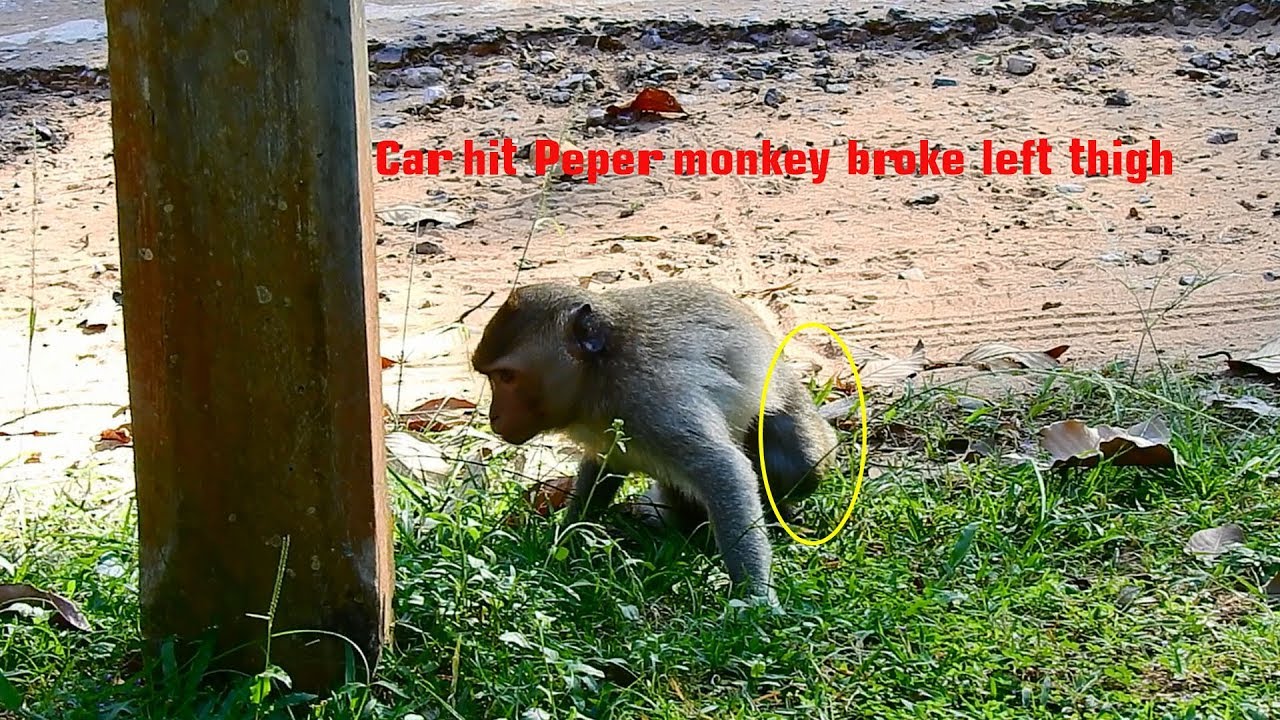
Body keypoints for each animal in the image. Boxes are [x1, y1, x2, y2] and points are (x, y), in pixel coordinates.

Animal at [471, 280, 840, 604]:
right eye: (490, 376)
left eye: (506, 377)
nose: (493, 416)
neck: (600, 372)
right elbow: (605, 465)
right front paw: (565, 539)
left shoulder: (655, 399)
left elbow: (724, 470)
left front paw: (756, 598)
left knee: (803, 464)